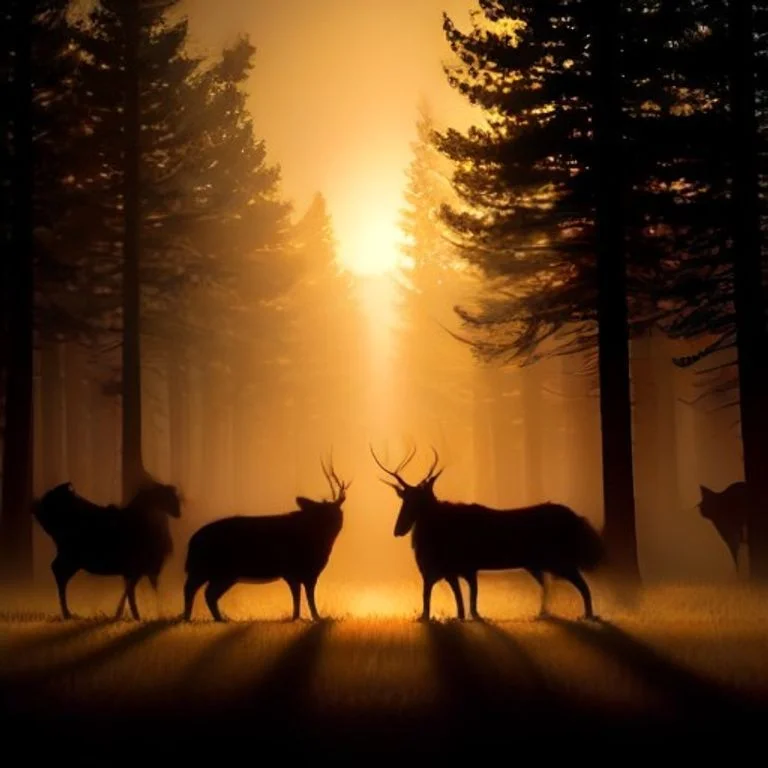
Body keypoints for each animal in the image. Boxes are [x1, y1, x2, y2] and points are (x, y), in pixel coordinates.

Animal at [183, 455, 350, 622]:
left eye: (332, 511)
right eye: (320, 511)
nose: (330, 523)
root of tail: (192, 542)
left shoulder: (299, 573)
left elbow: (298, 596)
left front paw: (297, 618)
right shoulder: (295, 570)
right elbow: (306, 596)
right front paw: (315, 618)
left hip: (218, 571)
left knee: (206, 592)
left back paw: (213, 618)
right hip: (214, 568)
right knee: (195, 589)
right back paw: (191, 618)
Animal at [371, 445, 605, 622]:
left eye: (417, 501)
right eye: (404, 500)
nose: (398, 529)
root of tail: (577, 519)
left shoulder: (459, 568)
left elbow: (468, 603)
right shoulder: (453, 571)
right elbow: (460, 604)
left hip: (560, 560)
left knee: (583, 586)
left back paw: (588, 616)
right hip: (538, 563)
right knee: (548, 586)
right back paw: (544, 613)